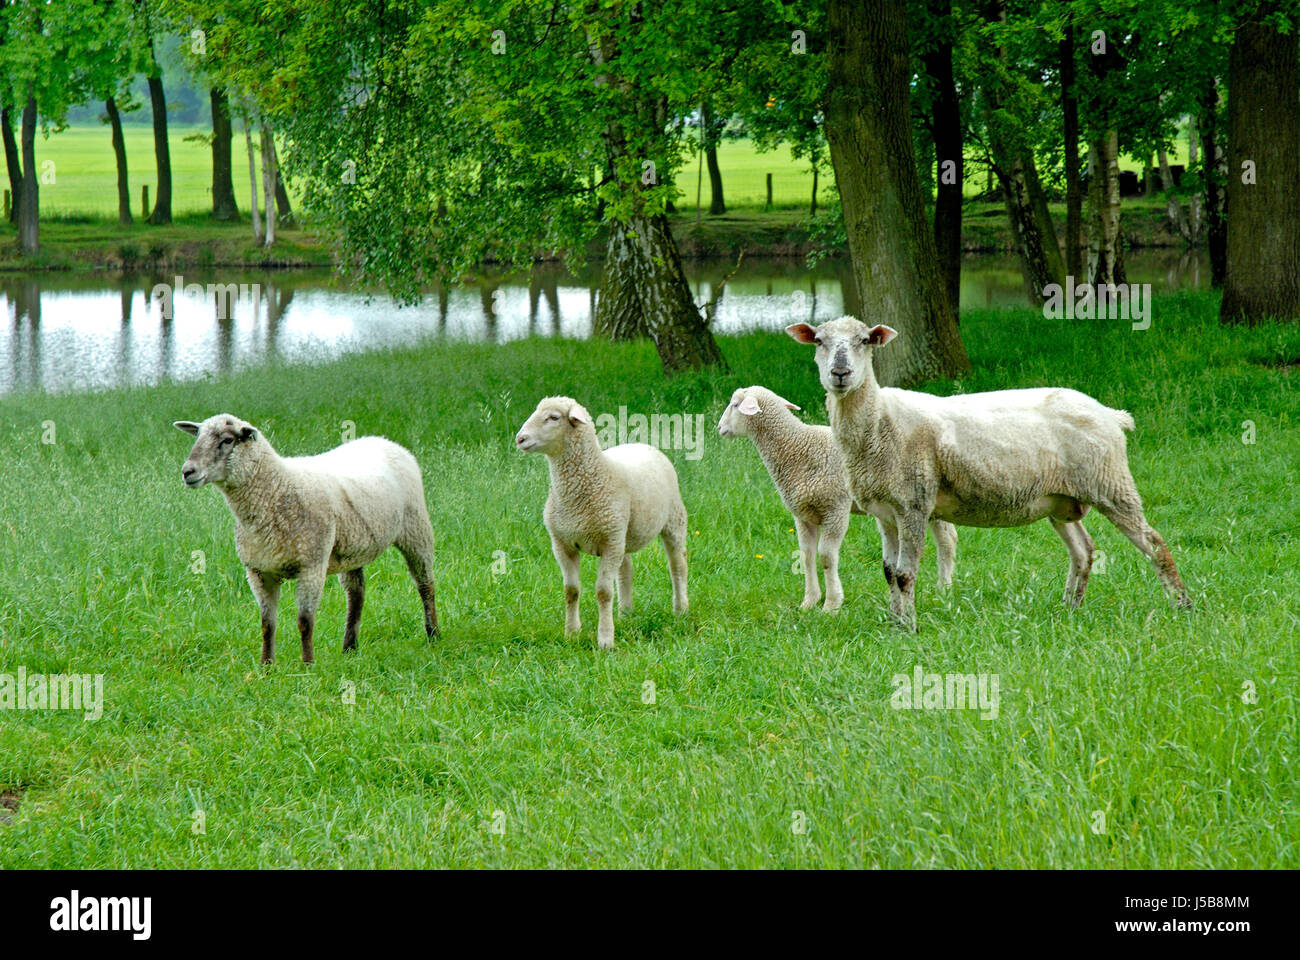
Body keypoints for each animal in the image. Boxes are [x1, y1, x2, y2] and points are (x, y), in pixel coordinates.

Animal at [174, 414, 438, 663]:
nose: (188, 472)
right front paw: (266, 667)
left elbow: (305, 621)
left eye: (227, 440)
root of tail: (383, 440)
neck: (277, 488)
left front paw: (307, 665)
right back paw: (349, 648)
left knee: (425, 584)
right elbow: (267, 624)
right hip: (352, 546)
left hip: (416, 528)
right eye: (197, 437)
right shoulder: (258, 571)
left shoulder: (311, 565)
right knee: (356, 592)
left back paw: (433, 634)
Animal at [515, 396, 688, 649]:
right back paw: (625, 614)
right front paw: (572, 633)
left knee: (677, 567)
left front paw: (605, 640)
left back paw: (681, 610)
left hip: (672, 522)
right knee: (626, 571)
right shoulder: (563, 544)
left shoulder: (609, 544)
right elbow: (571, 591)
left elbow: (603, 593)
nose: (520, 439)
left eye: (553, 417)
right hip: (621, 535)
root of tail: (642, 444)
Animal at [717, 385, 958, 612]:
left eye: (735, 405)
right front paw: (809, 602)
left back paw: (943, 589)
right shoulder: (803, 514)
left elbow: (826, 556)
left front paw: (832, 604)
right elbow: (806, 555)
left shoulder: (835, 508)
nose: (719, 428)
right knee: (948, 536)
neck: (796, 447)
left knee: (946, 540)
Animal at [786, 316, 1191, 628]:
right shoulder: (885, 511)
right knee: (1084, 550)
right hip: (1062, 500)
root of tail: (1111, 414)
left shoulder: (913, 504)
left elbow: (904, 574)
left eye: (865, 341)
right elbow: (888, 572)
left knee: (1154, 543)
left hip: (1110, 483)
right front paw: (894, 621)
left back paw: (1182, 606)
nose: (840, 373)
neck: (880, 420)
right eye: (819, 341)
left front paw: (909, 628)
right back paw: (1069, 607)